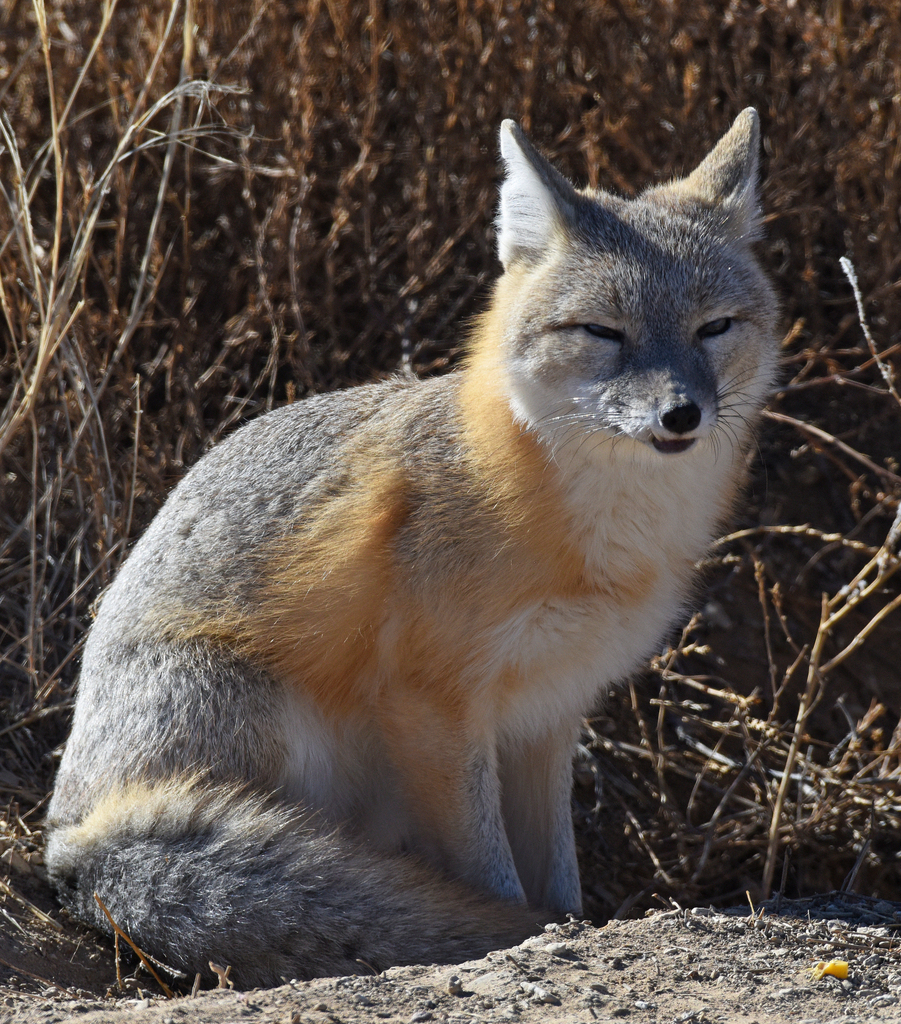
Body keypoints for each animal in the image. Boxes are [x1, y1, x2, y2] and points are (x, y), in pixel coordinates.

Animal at [45, 109, 779, 989]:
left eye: (713, 328)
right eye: (603, 332)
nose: (679, 413)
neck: (594, 536)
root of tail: (66, 843)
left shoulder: (547, 711)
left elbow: (557, 874)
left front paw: (568, 923)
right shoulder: (433, 704)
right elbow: (493, 876)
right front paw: (522, 935)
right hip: (269, 713)